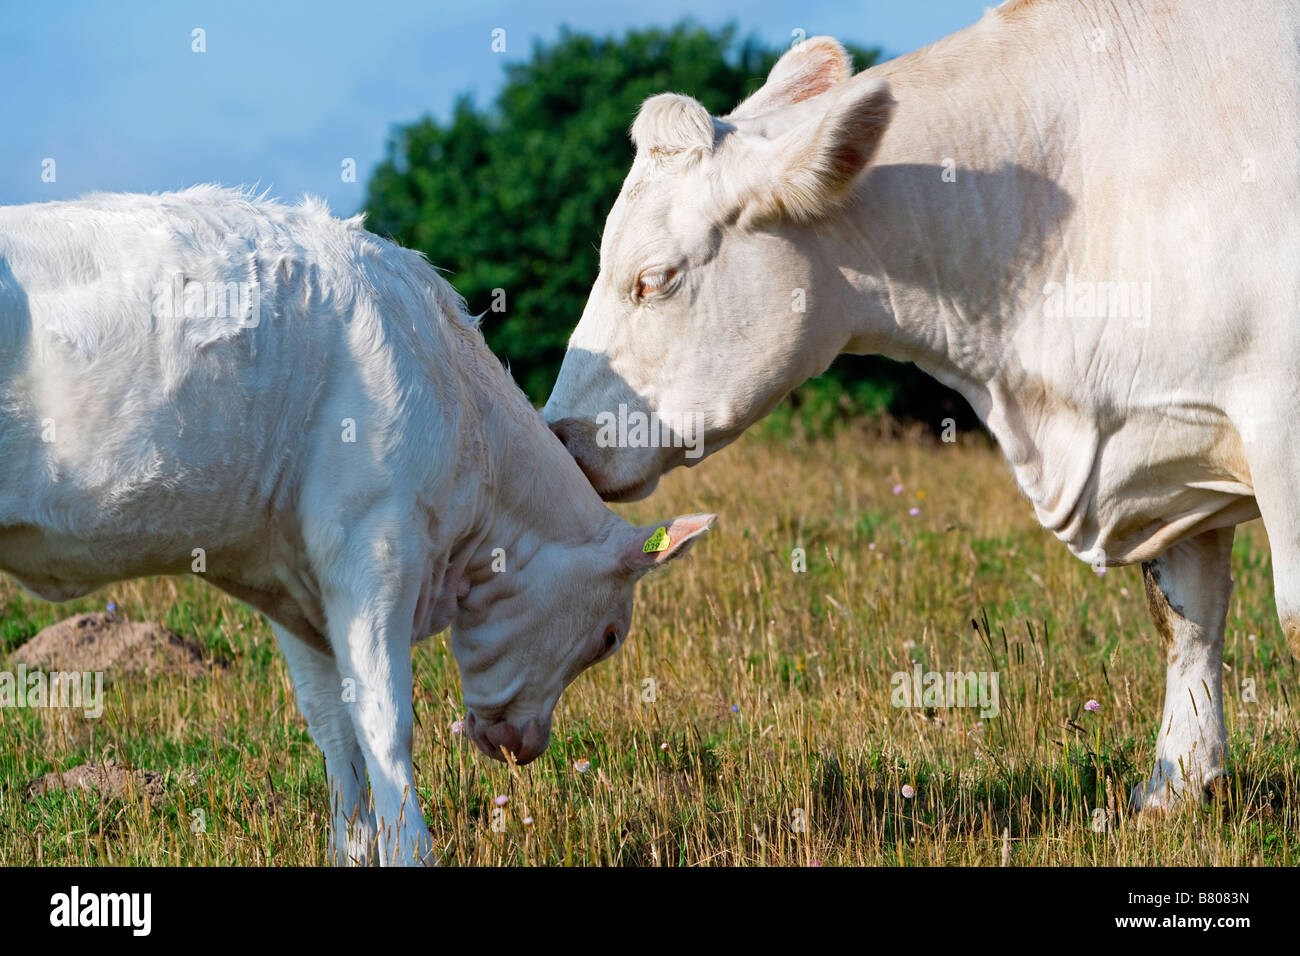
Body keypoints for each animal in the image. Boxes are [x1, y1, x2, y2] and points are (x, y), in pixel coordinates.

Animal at [0, 186, 716, 865]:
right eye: (610, 638)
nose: (522, 747)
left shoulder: (293, 579)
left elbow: (332, 724)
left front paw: (352, 847)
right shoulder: (372, 546)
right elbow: (384, 723)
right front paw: (411, 852)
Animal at [544, 0, 1300, 811]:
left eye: (653, 279)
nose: (559, 434)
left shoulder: (1277, 429)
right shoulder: (1168, 434)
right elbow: (1185, 620)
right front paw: (1173, 790)